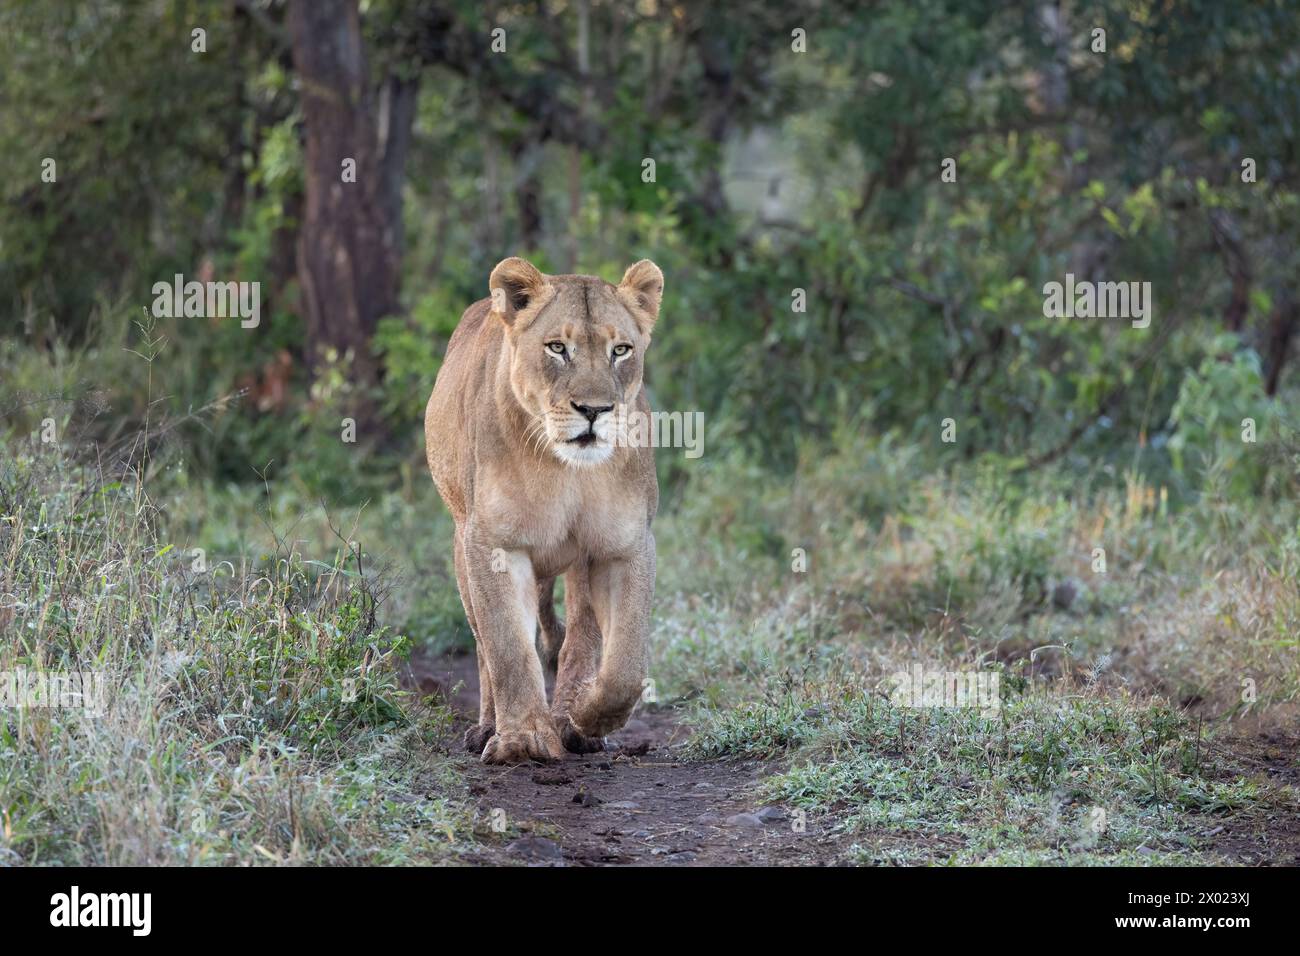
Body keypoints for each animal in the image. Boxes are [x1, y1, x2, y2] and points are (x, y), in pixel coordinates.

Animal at [424, 256, 663, 764]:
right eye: (557, 348)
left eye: (620, 350)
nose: (594, 410)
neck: (567, 471)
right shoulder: (493, 543)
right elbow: (508, 648)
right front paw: (523, 740)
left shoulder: (625, 546)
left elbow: (624, 667)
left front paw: (585, 716)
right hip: (461, 543)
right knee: (484, 646)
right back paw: (487, 726)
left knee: (580, 637)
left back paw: (573, 721)